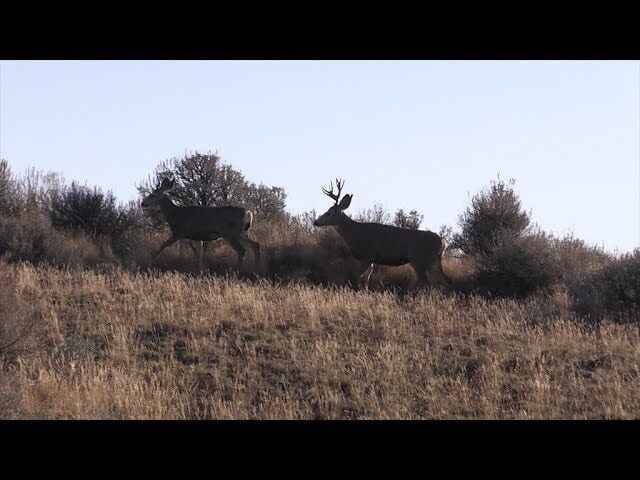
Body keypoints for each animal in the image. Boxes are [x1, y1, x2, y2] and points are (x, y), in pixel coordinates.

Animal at [313, 178, 449, 291]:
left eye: (329, 213)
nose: (316, 222)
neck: (354, 233)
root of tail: (442, 242)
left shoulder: (368, 254)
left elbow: (358, 276)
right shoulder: (371, 259)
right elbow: (366, 278)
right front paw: (365, 293)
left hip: (419, 259)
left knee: (426, 282)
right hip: (434, 260)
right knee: (444, 280)